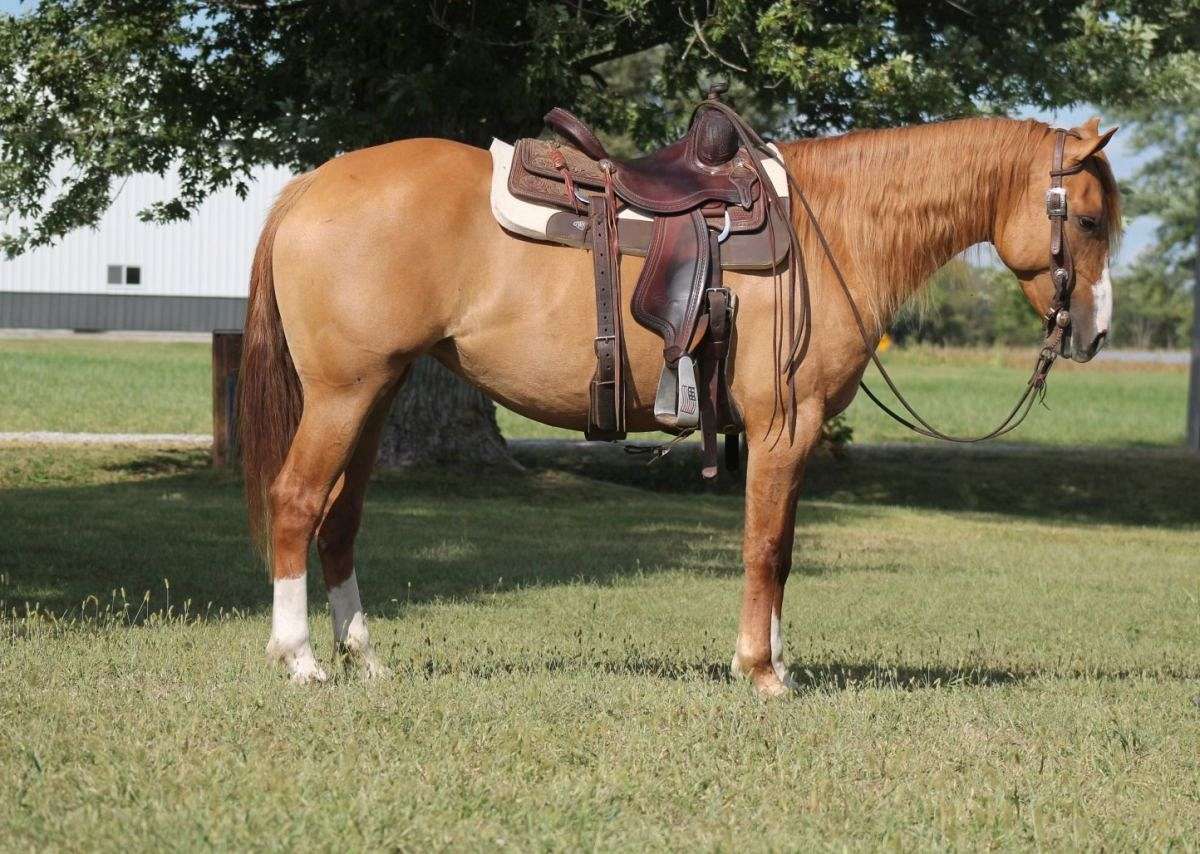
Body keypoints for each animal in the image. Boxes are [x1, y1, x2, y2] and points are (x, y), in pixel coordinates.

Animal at [237, 114, 1120, 697]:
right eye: (1085, 218)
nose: (1095, 333)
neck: (832, 230)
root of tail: (312, 183)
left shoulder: (788, 437)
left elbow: (784, 554)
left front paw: (776, 659)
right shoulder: (783, 427)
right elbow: (765, 549)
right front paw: (761, 673)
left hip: (375, 395)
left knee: (341, 519)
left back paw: (364, 656)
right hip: (343, 396)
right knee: (298, 502)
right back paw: (300, 658)